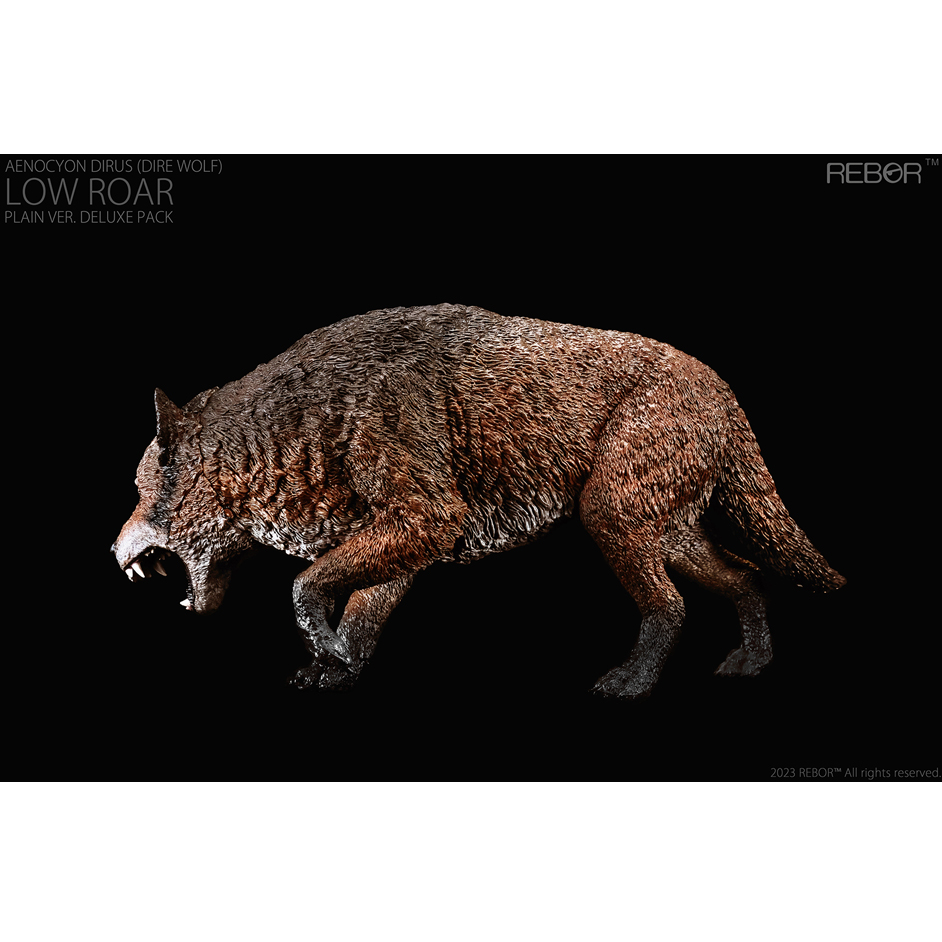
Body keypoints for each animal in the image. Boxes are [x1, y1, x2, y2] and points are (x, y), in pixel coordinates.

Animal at [112, 304, 845, 699]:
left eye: (141, 491)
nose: (112, 547)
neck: (308, 426)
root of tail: (723, 386)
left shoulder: (428, 518)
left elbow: (304, 586)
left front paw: (328, 654)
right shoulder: (404, 538)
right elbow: (358, 614)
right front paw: (334, 668)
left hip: (610, 517)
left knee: (671, 606)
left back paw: (631, 682)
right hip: (667, 530)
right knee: (745, 577)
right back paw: (750, 663)